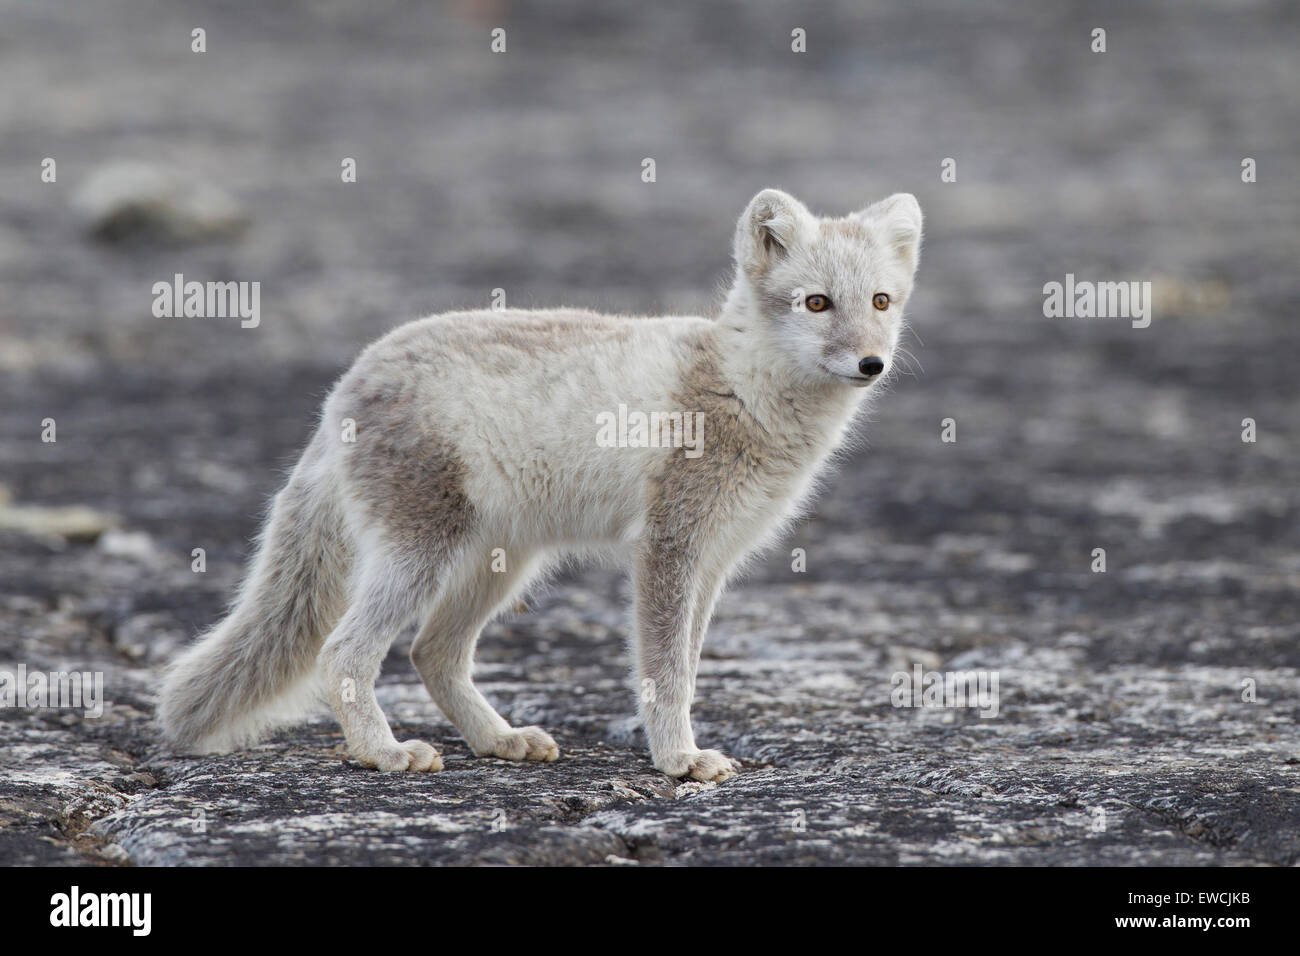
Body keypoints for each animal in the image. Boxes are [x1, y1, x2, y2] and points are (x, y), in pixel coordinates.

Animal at [158, 187, 923, 781]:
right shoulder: (669, 548)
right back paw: (384, 752)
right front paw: (678, 761)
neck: (742, 385)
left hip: (504, 563)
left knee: (431, 653)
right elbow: (666, 673)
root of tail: (344, 384)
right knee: (345, 652)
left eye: (881, 300)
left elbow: (686, 667)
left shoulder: (713, 562)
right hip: (420, 553)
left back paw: (498, 740)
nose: (872, 364)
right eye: (816, 303)